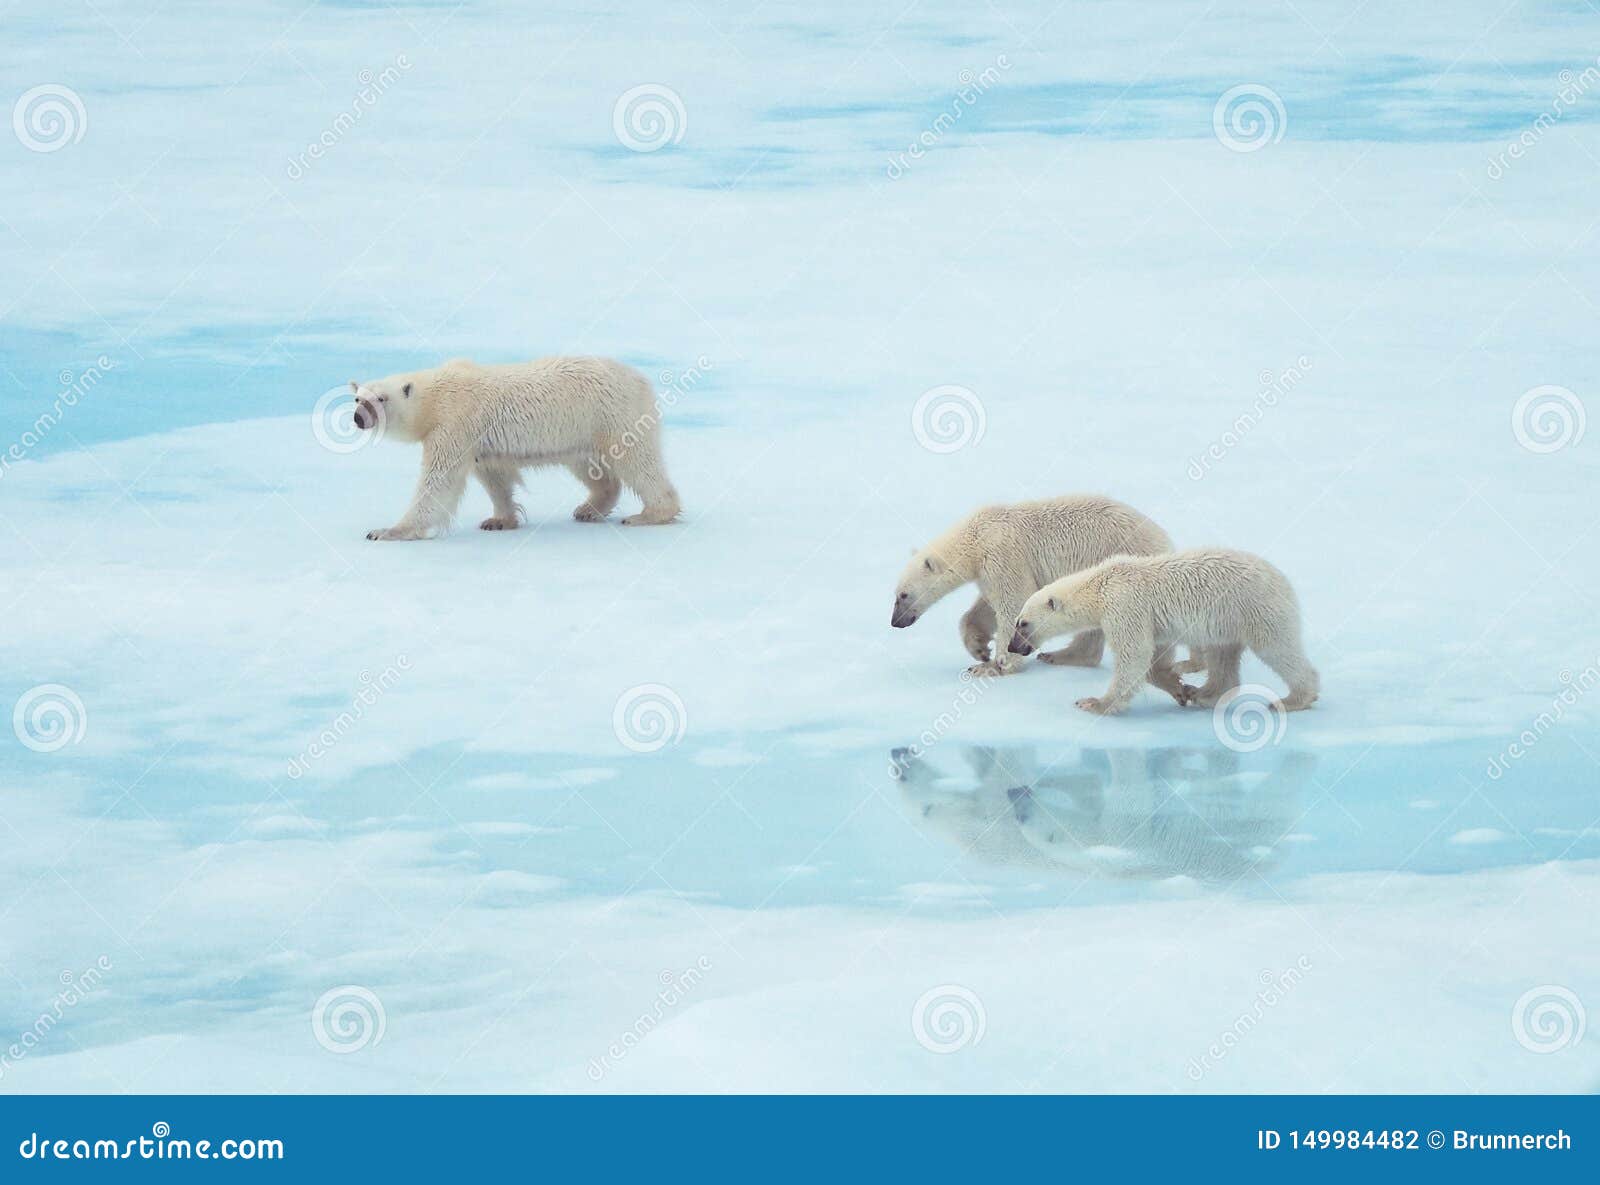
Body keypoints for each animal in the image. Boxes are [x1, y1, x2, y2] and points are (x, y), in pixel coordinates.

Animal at [349, 356, 680, 540]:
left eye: (381, 399)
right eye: (357, 398)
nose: (358, 417)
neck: (436, 395)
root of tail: (640, 378)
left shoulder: (454, 422)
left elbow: (438, 481)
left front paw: (386, 531)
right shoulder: (479, 440)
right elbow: (494, 476)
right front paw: (499, 520)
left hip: (613, 415)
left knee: (637, 461)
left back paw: (650, 514)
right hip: (582, 431)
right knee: (592, 468)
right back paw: (588, 509)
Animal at [890, 495, 1178, 677]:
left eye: (903, 594)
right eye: (896, 593)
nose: (895, 622)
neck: (977, 536)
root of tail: (1165, 540)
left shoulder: (1003, 554)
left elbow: (1013, 601)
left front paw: (995, 666)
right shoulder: (987, 570)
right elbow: (985, 607)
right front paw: (980, 649)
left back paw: (1061, 655)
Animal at [1006, 547, 1320, 716]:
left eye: (1022, 623)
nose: (1011, 647)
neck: (1100, 585)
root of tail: (1282, 580)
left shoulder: (1124, 605)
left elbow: (1134, 653)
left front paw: (1094, 702)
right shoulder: (1146, 617)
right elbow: (1152, 657)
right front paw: (1179, 688)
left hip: (1255, 607)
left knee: (1277, 648)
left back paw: (1291, 699)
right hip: (1227, 621)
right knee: (1223, 655)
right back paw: (1203, 693)